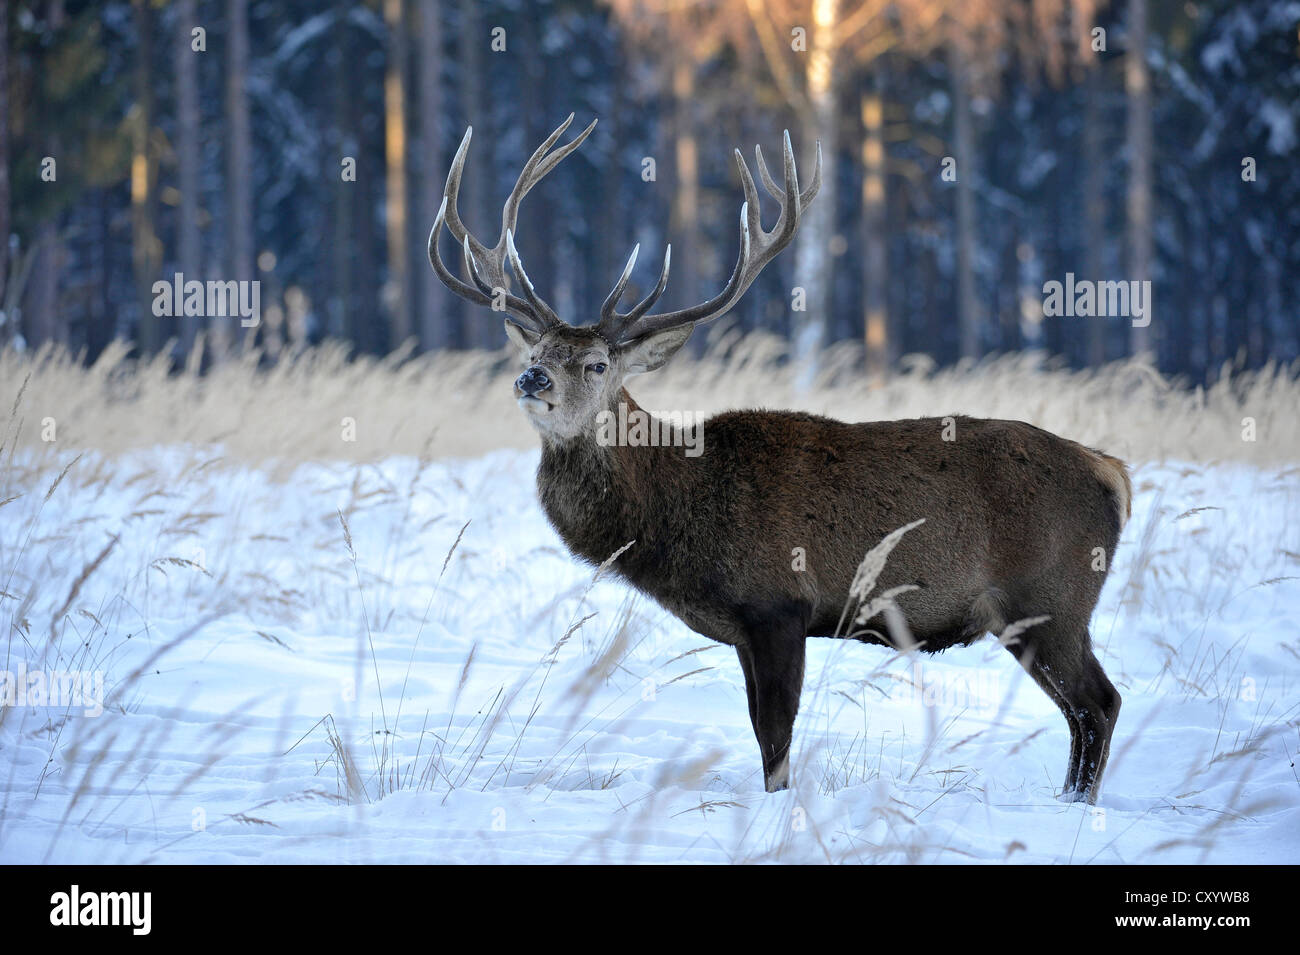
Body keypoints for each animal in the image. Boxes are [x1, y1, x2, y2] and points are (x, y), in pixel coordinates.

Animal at [427, 114, 1130, 804]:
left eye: (597, 364)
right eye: (535, 351)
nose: (532, 380)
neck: (679, 510)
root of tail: (1112, 473)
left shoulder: (780, 605)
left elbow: (776, 733)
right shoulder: (745, 630)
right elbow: (758, 726)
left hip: (1051, 598)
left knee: (1098, 703)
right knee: (1085, 711)